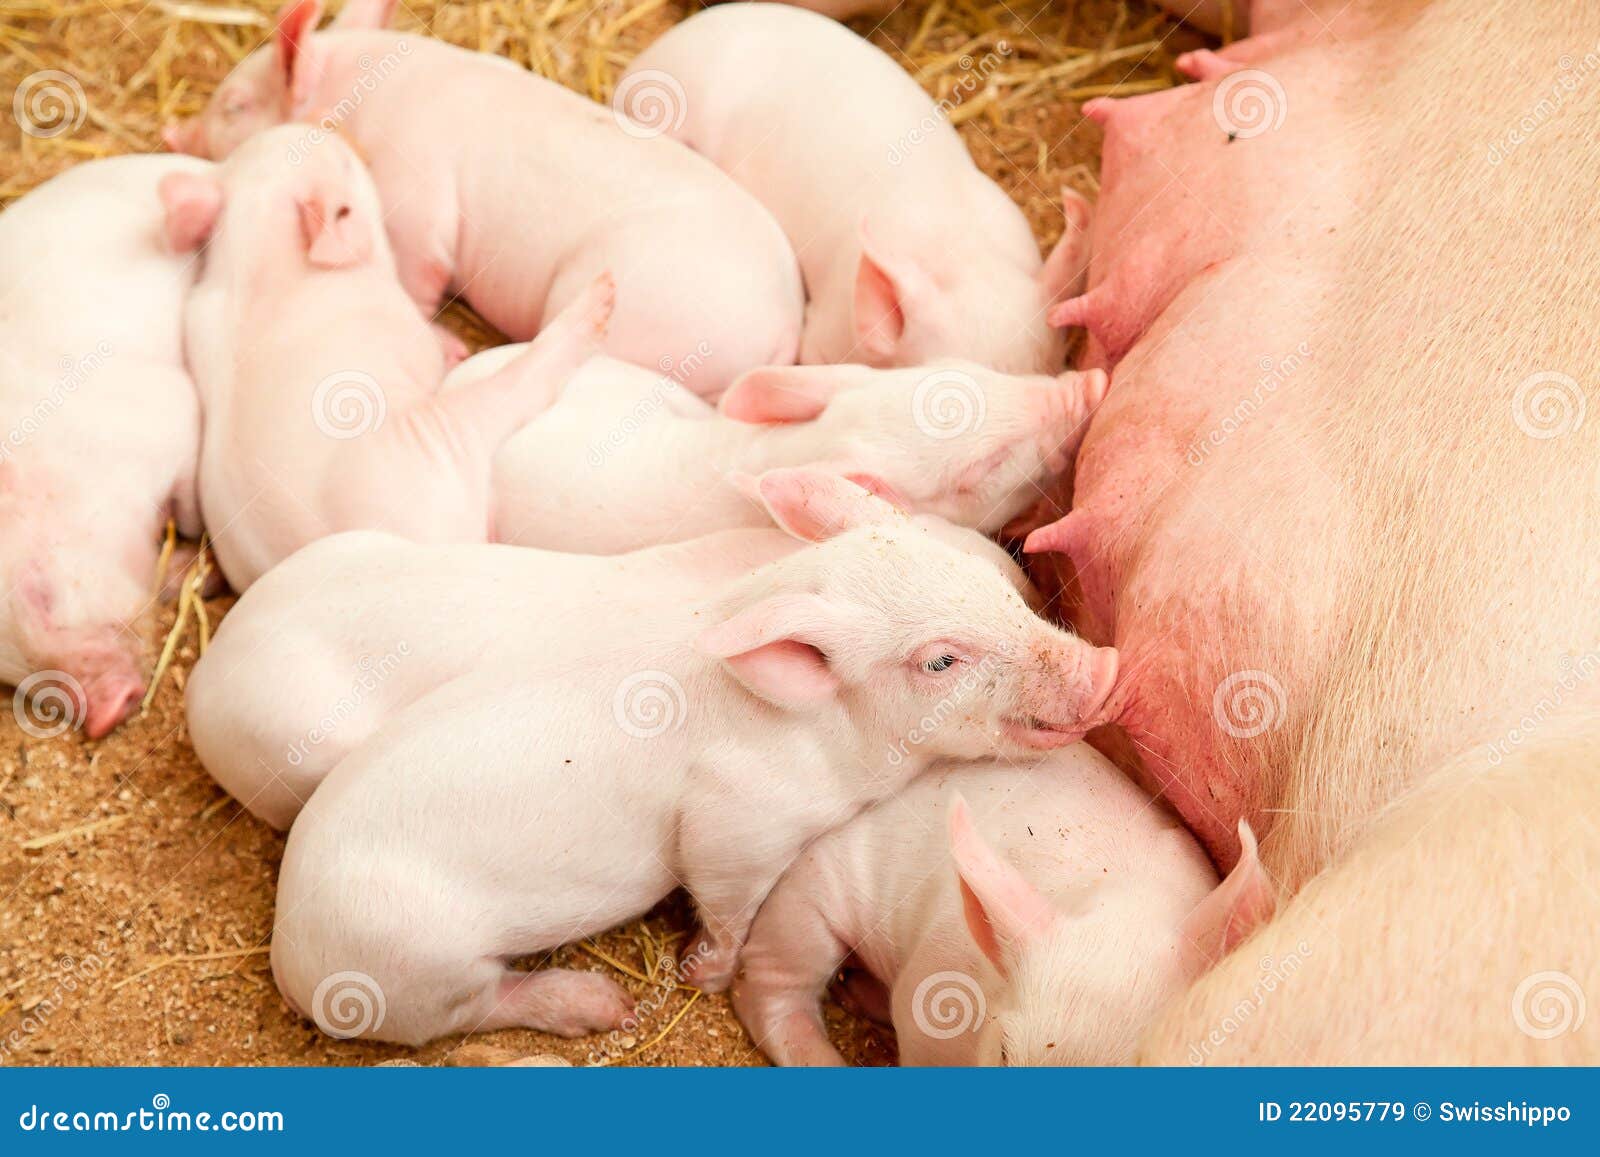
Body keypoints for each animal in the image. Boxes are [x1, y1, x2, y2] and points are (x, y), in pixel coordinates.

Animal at [159, 125, 610, 592]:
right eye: (344, 163)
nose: (329, 131)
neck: (252, 270)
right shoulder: (403, 324)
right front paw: (454, 349)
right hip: (441, 438)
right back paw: (600, 295)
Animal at [163, 0, 803, 398]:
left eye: (235, 105)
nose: (172, 135)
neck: (359, 101)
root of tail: (785, 323)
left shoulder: (416, 209)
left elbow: (418, 278)